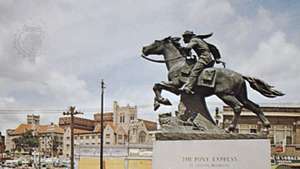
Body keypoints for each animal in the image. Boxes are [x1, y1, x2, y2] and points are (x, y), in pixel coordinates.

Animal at [141, 36, 284, 131]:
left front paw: (163, 101)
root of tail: (240, 75)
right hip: (241, 95)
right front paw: (157, 104)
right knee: (254, 106)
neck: (178, 63)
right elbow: (158, 87)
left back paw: (230, 128)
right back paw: (266, 126)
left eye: (156, 42)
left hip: (225, 94)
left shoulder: (176, 86)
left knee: (238, 107)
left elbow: (157, 85)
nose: (143, 48)